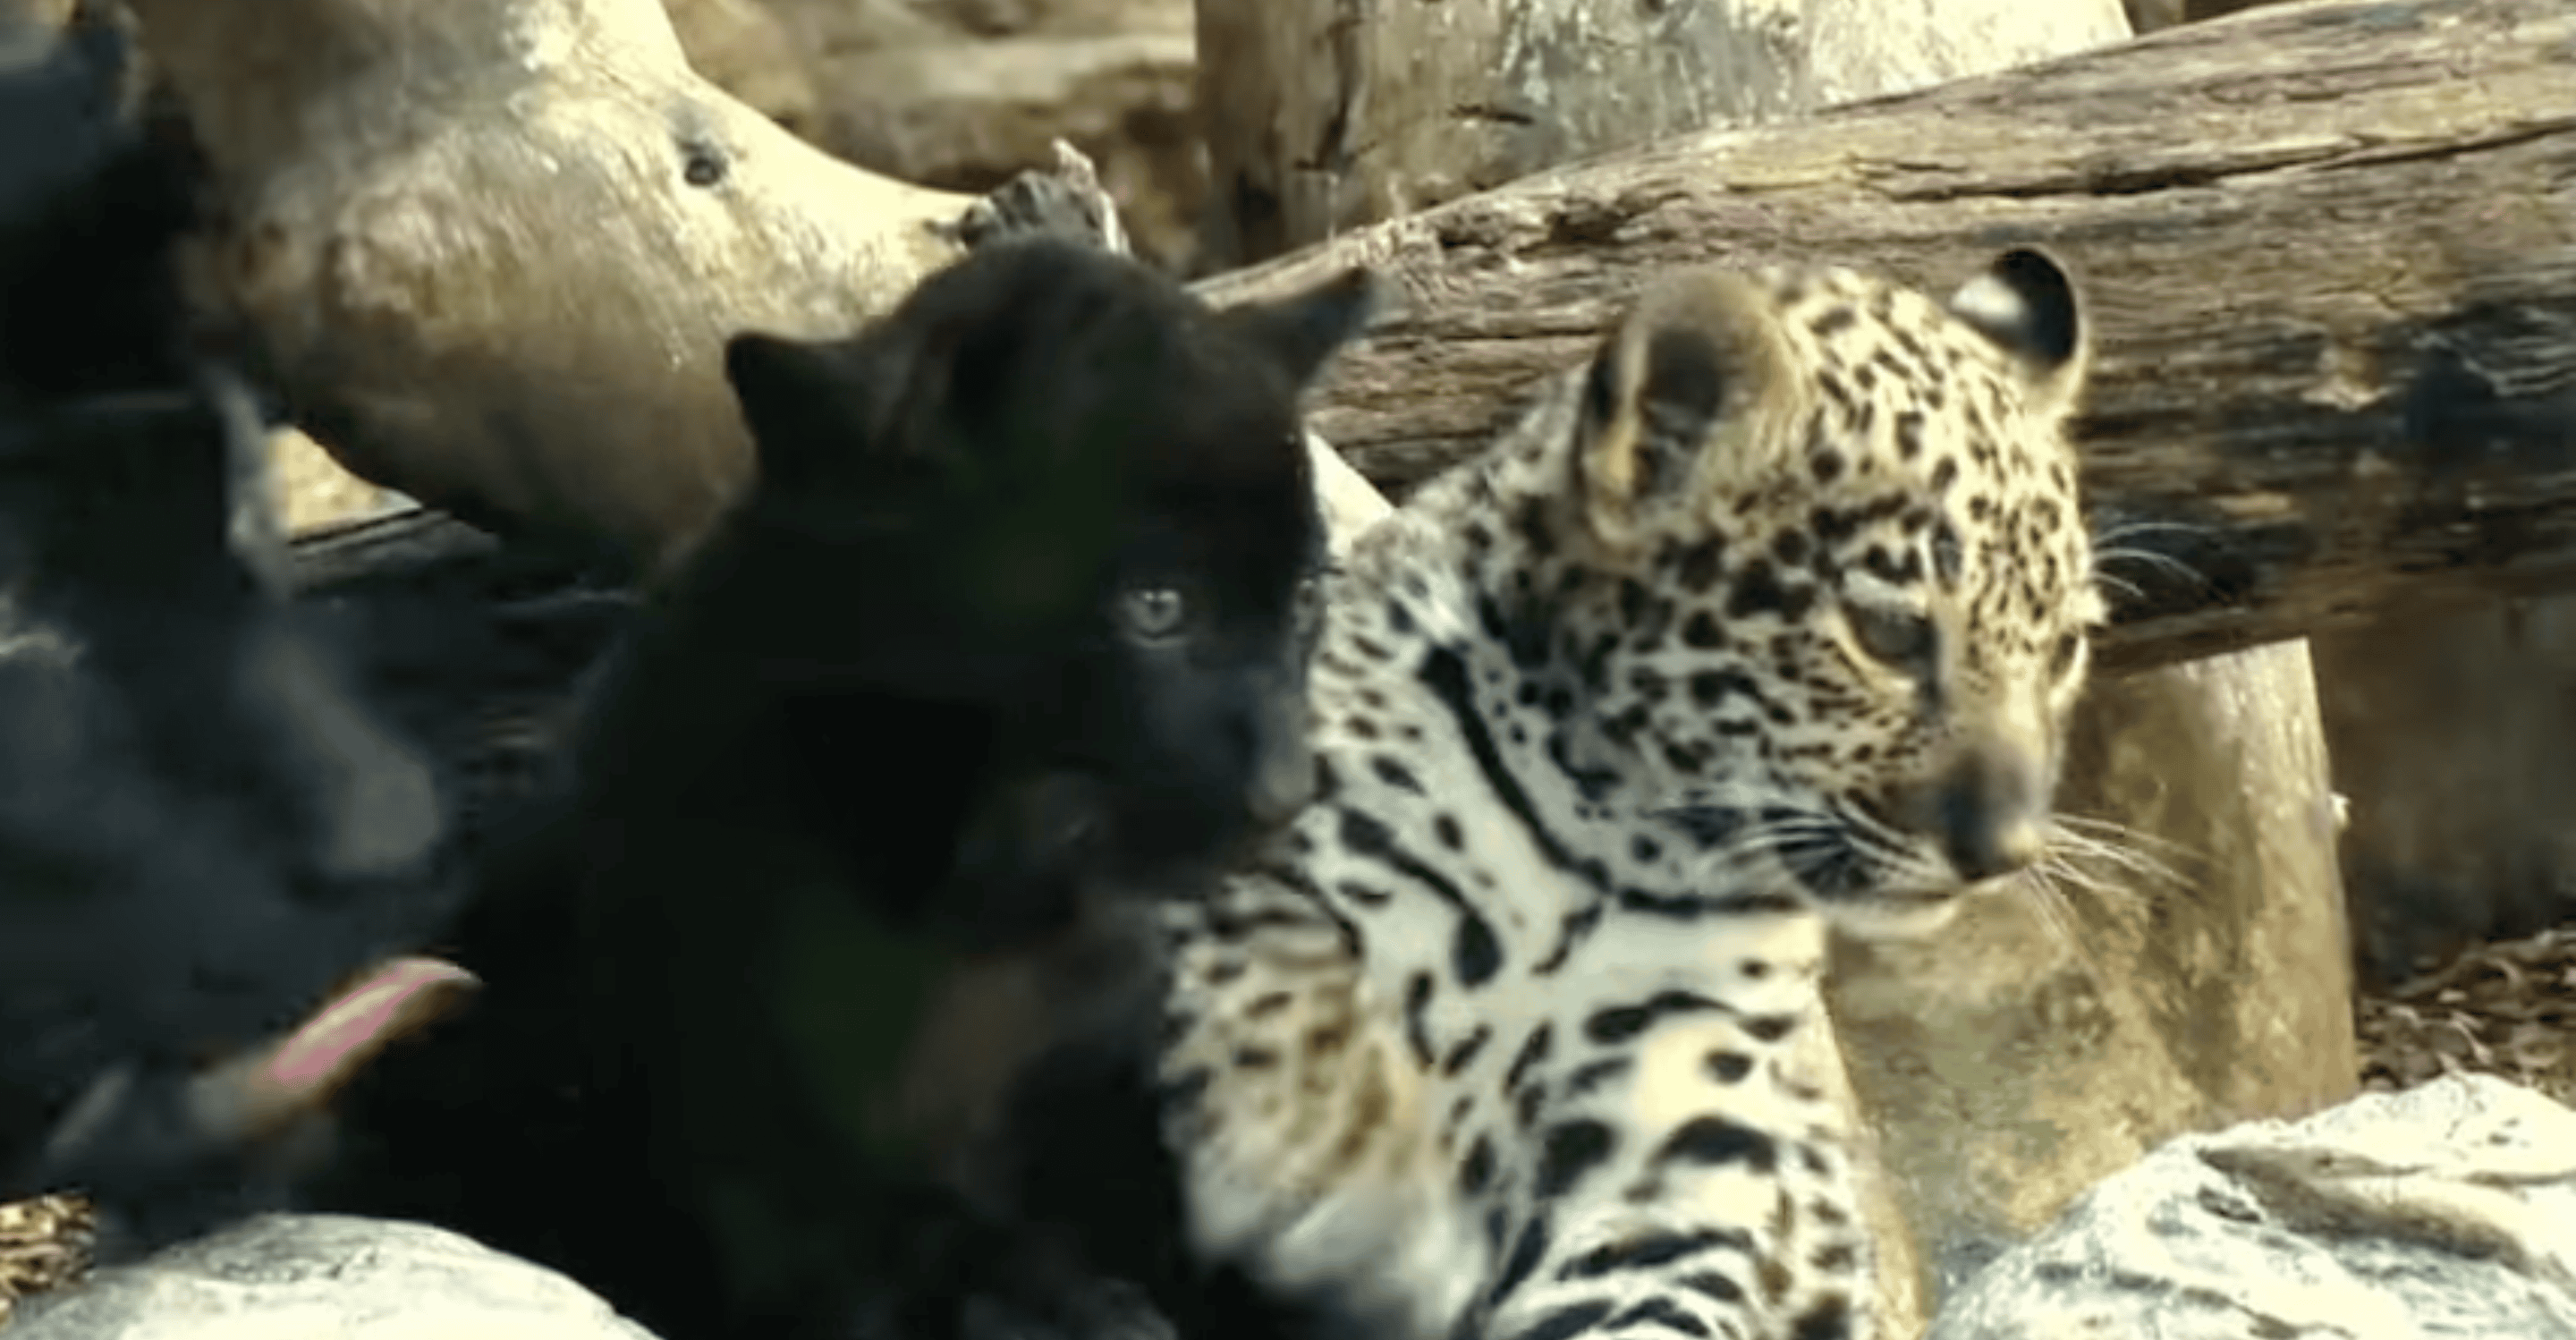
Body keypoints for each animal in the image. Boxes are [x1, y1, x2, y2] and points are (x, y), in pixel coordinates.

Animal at [1153, 247, 2100, 1340]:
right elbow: (1276, 991)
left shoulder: (1676, 1143)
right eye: (1889, 634)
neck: (1599, 854)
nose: (2005, 850)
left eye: (2064, 650)